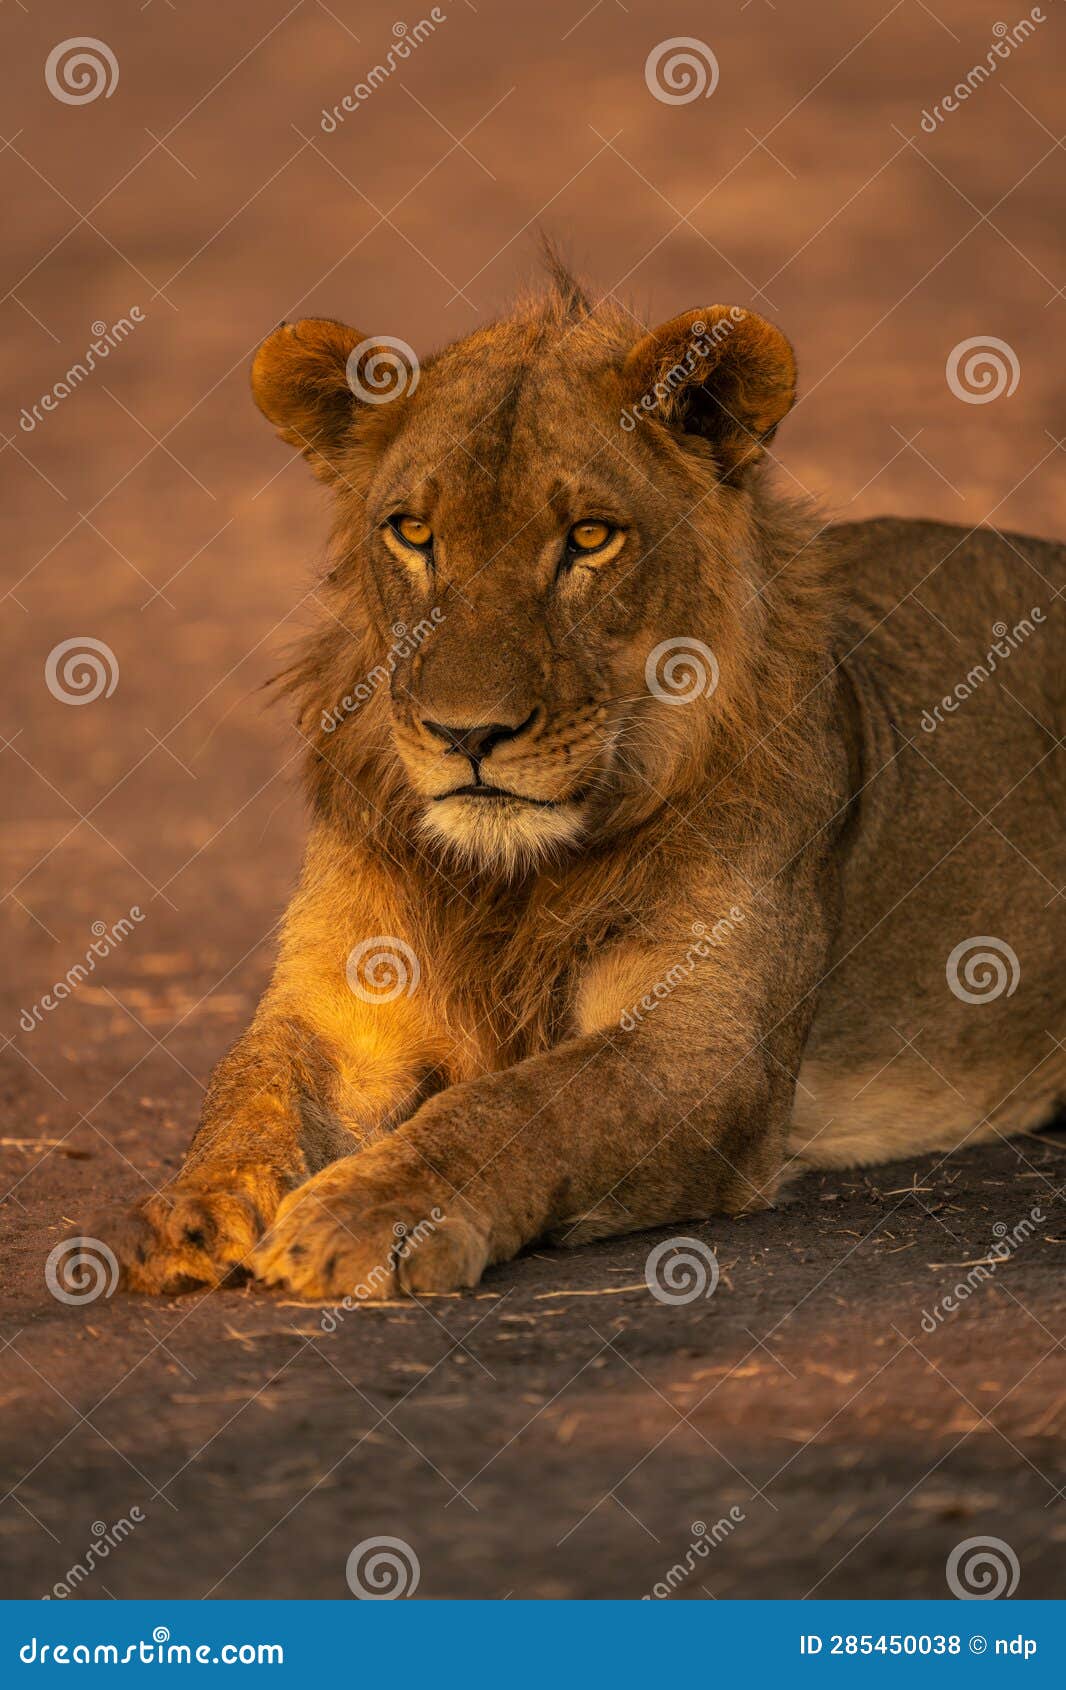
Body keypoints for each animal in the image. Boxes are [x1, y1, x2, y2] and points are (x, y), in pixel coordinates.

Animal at [92, 260, 1065, 1302]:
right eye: (413, 532)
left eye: (590, 538)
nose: (467, 732)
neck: (509, 879)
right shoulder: (340, 1012)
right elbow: (249, 1085)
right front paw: (187, 1211)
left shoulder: (701, 1056)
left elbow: (519, 1107)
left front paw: (363, 1215)